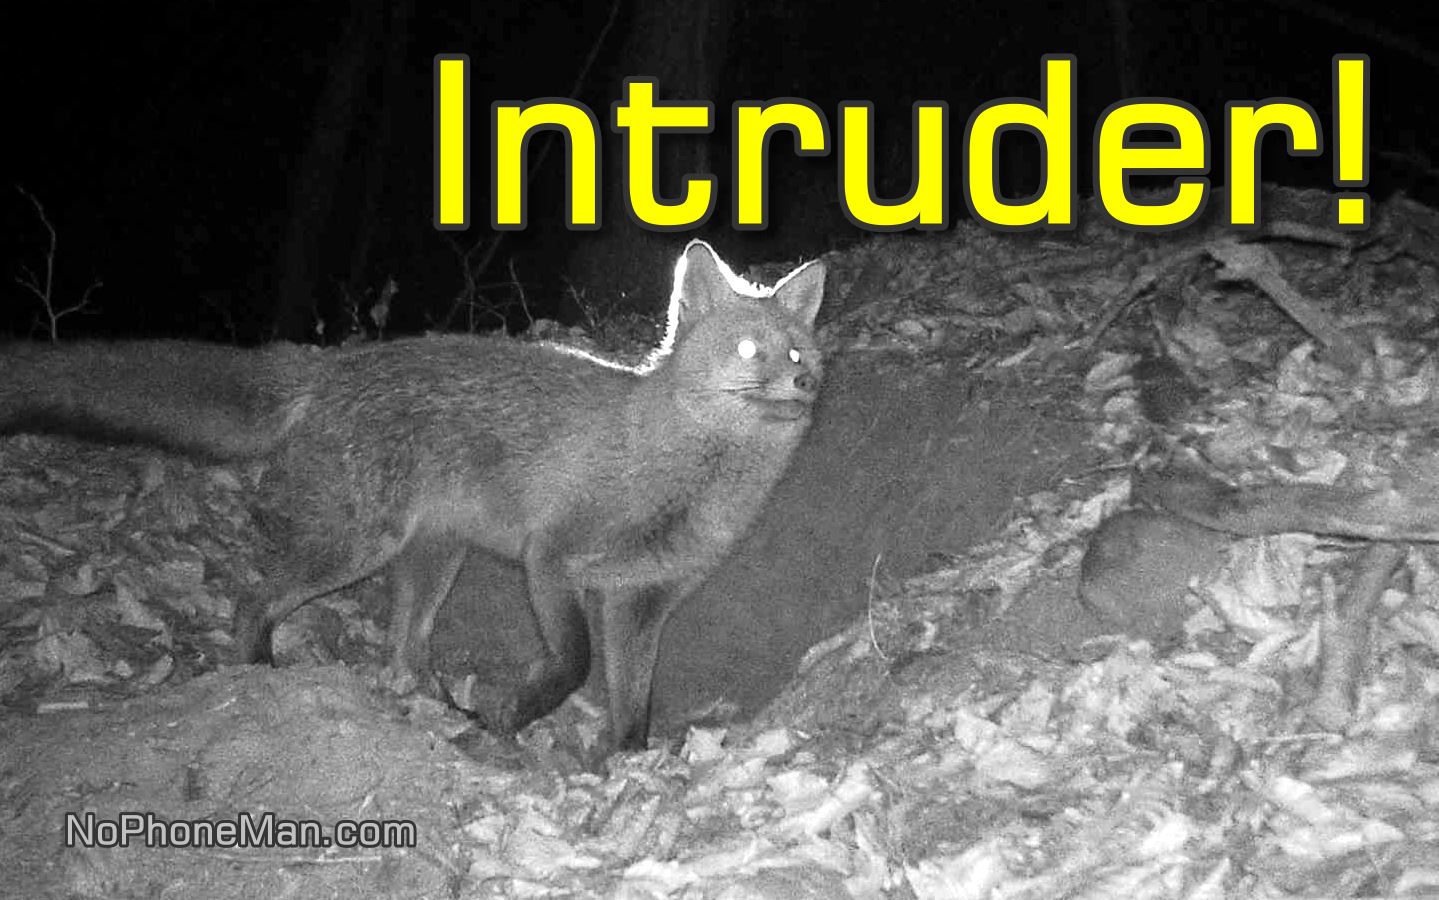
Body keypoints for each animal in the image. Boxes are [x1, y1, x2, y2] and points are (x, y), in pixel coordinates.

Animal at [0, 240, 827, 751]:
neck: (677, 480)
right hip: (359, 547)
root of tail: (330, 365)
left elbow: (634, 708)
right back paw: (259, 670)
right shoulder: (551, 558)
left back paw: (425, 706)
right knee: (254, 598)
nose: (805, 385)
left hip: (433, 561)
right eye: (750, 351)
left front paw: (622, 764)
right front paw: (519, 712)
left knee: (402, 653)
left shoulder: (641, 602)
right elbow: (572, 663)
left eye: (801, 354)